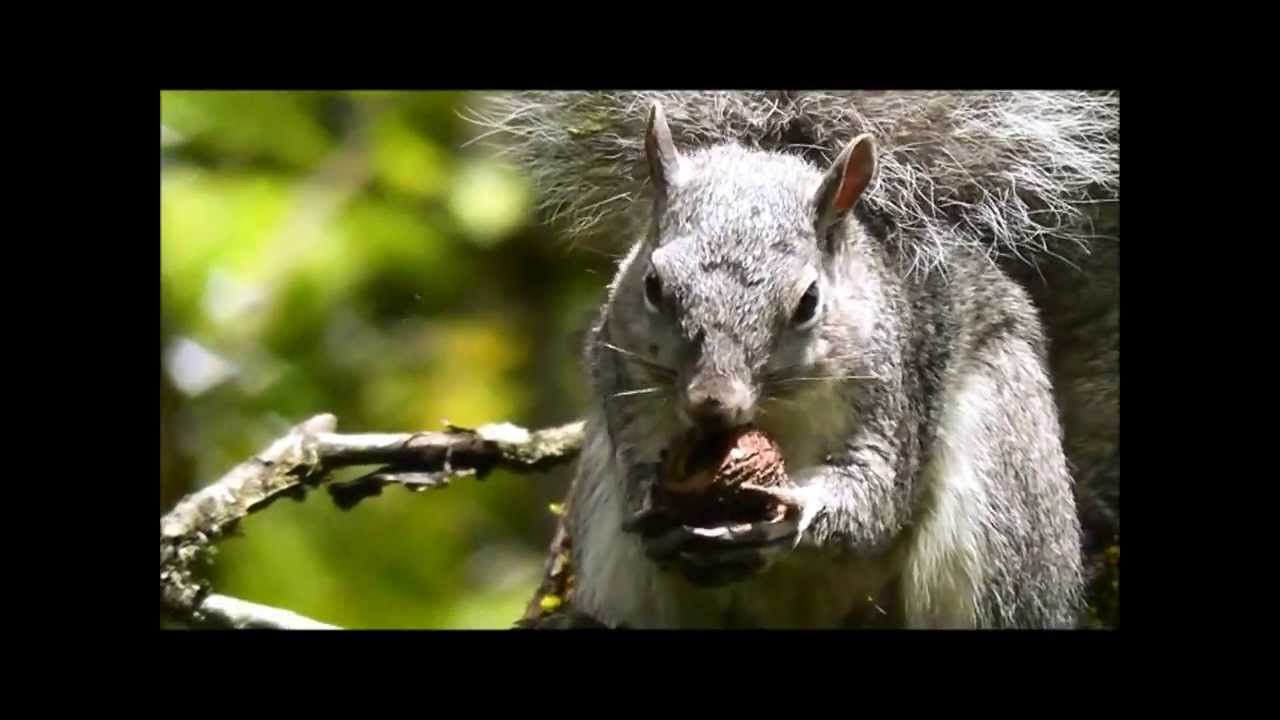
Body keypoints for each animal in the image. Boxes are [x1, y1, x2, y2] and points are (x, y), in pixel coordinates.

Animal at [465, 91, 1119, 629]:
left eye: (808, 301)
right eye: (651, 284)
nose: (713, 401)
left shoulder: (893, 397)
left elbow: (874, 499)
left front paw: (800, 510)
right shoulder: (620, 381)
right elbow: (636, 473)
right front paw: (656, 508)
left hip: (1005, 488)